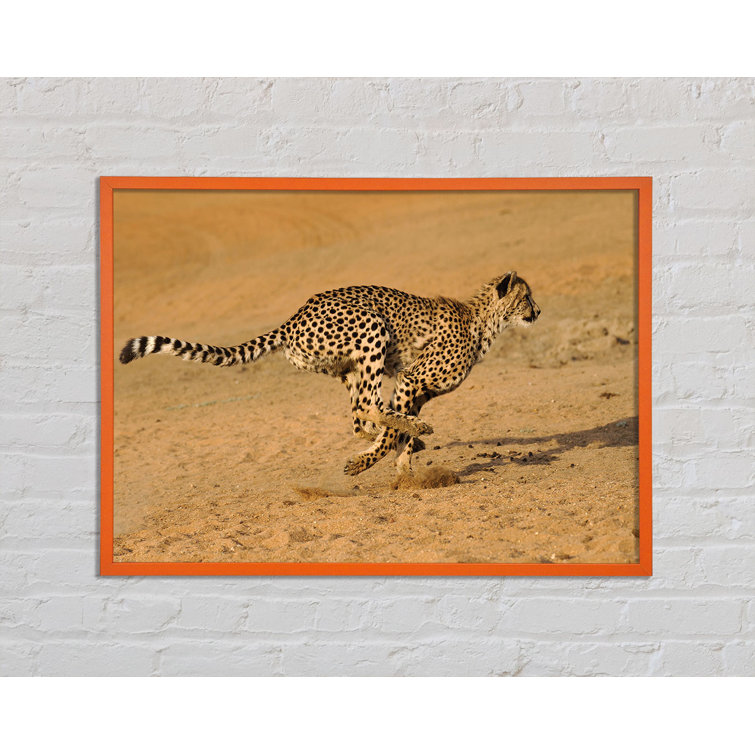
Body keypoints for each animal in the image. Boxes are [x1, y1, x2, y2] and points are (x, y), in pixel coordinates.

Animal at [119, 271, 541, 476]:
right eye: (526, 296)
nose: (538, 311)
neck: (483, 323)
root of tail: (294, 316)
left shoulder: (418, 391)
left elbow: (395, 433)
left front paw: (404, 466)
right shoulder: (411, 380)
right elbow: (393, 431)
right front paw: (374, 463)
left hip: (348, 366)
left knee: (358, 416)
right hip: (372, 329)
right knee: (367, 408)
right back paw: (406, 436)